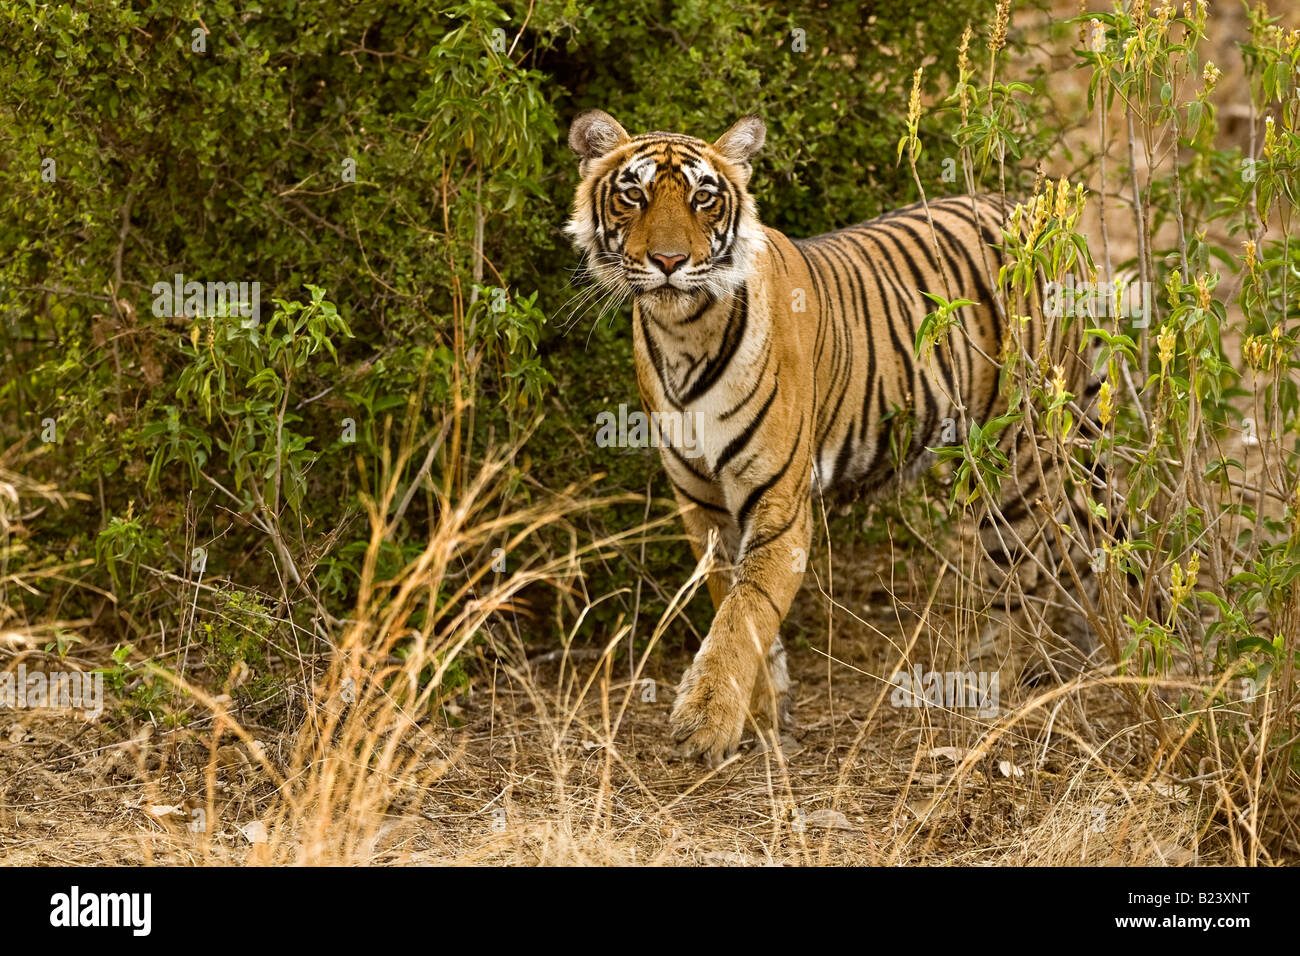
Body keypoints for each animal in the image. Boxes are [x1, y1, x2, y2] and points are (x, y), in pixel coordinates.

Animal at [564, 110, 1105, 764]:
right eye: (633, 195)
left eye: (703, 199)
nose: (669, 260)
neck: (683, 333)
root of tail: (1038, 215)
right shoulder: (702, 504)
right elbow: (732, 602)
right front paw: (765, 715)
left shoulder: (778, 505)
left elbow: (746, 609)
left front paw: (707, 721)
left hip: (1017, 458)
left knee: (1023, 574)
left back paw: (983, 682)